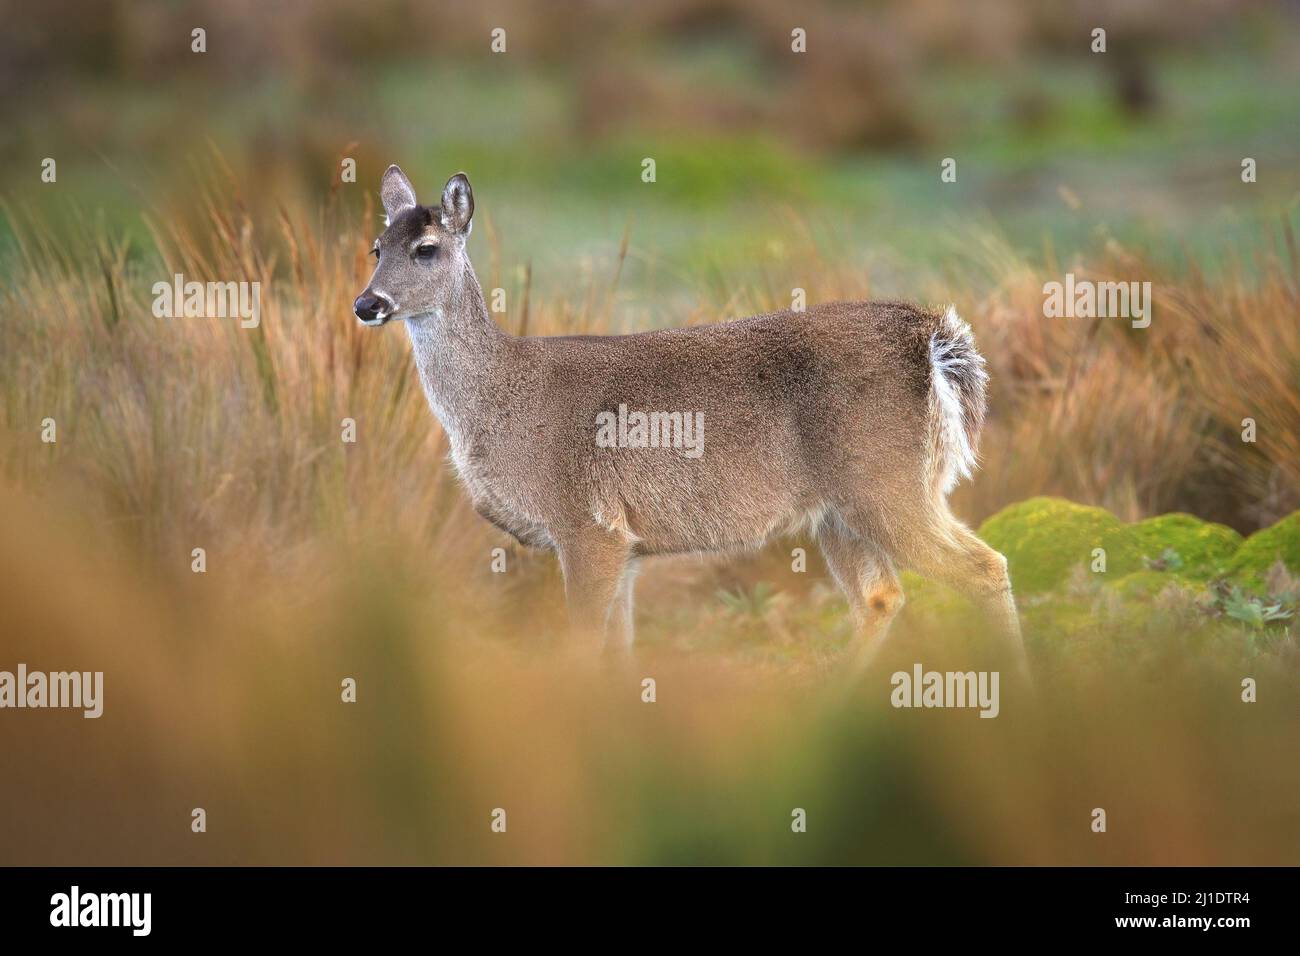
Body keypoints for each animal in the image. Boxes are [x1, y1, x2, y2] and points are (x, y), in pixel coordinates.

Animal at [354, 165, 1027, 679]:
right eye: (375, 249)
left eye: (427, 248)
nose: (367, 303)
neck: (497, 402)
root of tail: (933, 337)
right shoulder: (625, 546)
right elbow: (620, 652)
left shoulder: (585, 524)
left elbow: (581, 649)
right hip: (841, 509)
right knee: (882, 597)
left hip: (887, 484)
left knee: (983, 567)